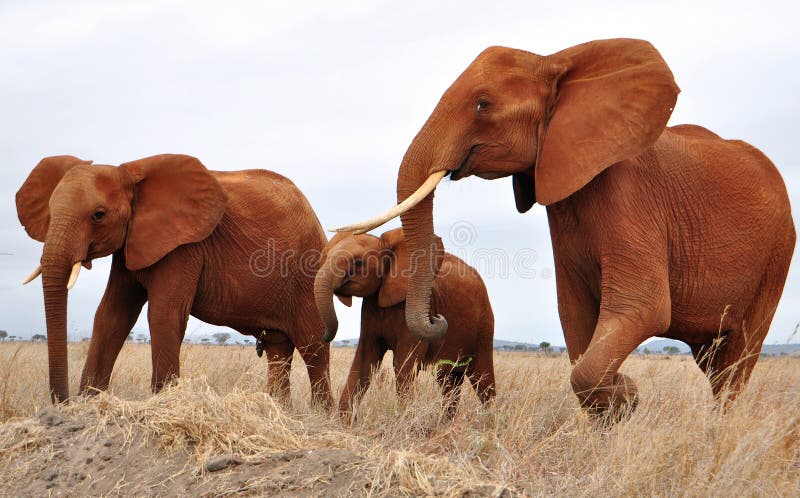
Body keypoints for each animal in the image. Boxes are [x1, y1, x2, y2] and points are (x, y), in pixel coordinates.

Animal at [16, 154, 332, 406]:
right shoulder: (130, 244)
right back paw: (280, 410)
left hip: (308, 275)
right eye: (50, 212)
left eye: (98, 215)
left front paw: (163, 404)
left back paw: (321, 417)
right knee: (278, 350)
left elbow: (163, 314)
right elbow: (111, 316)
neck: (130, 175)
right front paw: (89, 404)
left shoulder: (184, 247)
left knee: (313, 348)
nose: (62, 402)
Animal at [314, 228, 495, 419]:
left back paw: (489, 419)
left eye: (358, 263)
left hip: (484, 324)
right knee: (449, 380)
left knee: (483, 379)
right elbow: (365, 360)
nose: (324, 335)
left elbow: (403, 363)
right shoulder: (370, 309)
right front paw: (345, 422)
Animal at [335, 38, 796, 420]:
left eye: (483, 104)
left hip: (778, 255)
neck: (553, 62)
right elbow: (574, 316)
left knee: (736, 361)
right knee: (714, 362)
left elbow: (644, 308)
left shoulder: (632, 198)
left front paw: (626, 396)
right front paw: (617, 409)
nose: (438, 319)